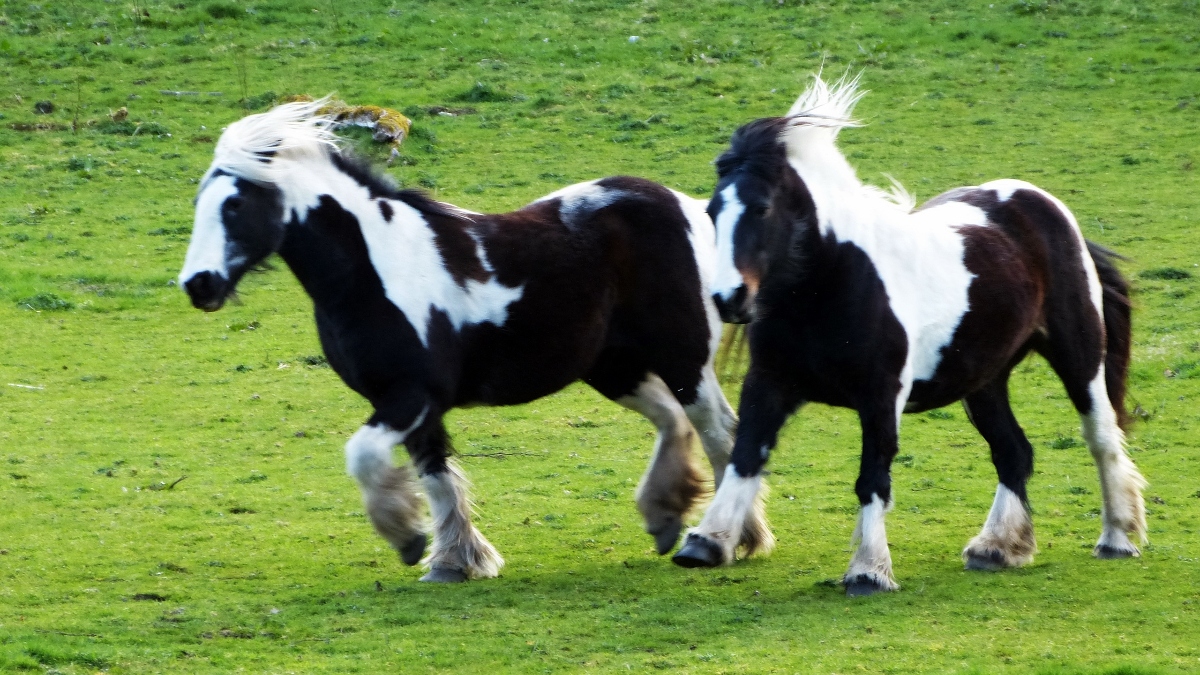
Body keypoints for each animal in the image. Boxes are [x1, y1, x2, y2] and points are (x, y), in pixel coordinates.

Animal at [177, 100, 770, 582]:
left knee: (721, 432)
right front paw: (456, 561)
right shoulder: (411, 404)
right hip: (612, 366)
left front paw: (408, 536)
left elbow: (363, 455)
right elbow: (437, 474)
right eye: (200, 201)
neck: (373, 270)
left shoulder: (410, 397)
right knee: (674, 422)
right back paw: (668, 516)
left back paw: (725, 540)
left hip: (684, 358)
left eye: (235, 205)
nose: (198, 284)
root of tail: (690, 209)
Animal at [671, 74, 1148, 596]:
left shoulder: (881, 397)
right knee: (1013, 452)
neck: (832, 284)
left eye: (761, 208)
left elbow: (872, 479)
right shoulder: (770, 384)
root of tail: (1040, 202)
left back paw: (1117, 538)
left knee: (1101, 436)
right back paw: (997, 548)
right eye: (712, 211)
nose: (728, 299)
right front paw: (706, 542)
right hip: (984, 381)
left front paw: (868, 570)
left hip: (1079, 357)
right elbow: (744, 456)